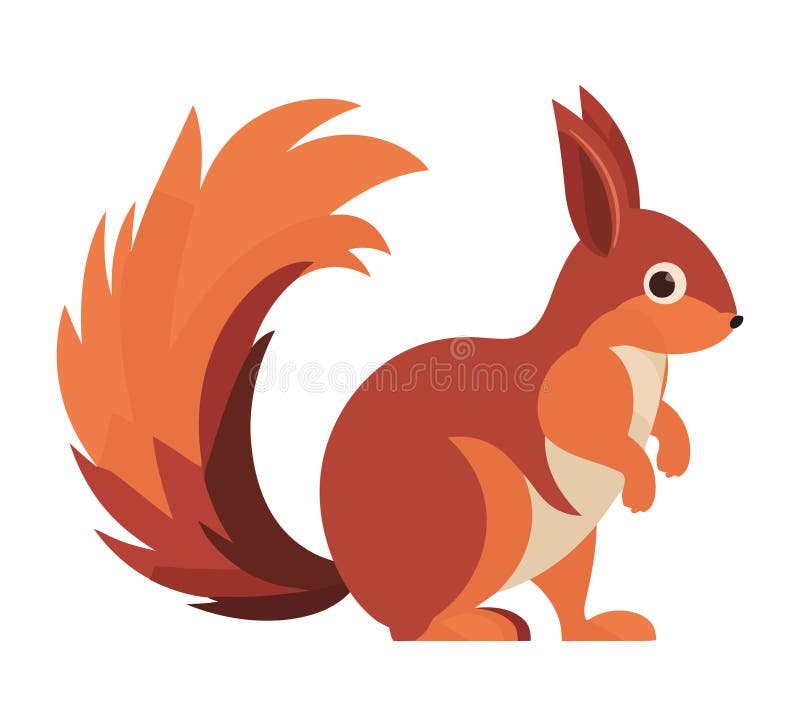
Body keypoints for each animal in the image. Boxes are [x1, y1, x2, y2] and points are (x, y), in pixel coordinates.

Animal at [58, 88, 740, 641]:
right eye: (662, 283)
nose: (737, 321)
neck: (632, 354)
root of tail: (353, 578)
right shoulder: (565, 390)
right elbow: (587, 435)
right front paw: (642, 478)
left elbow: (664, 417)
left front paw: (674, 450)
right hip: (474, 510)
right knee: (409, 630)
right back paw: (475, 628)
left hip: (570, 548)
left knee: (565, 606)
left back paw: (598, 628)